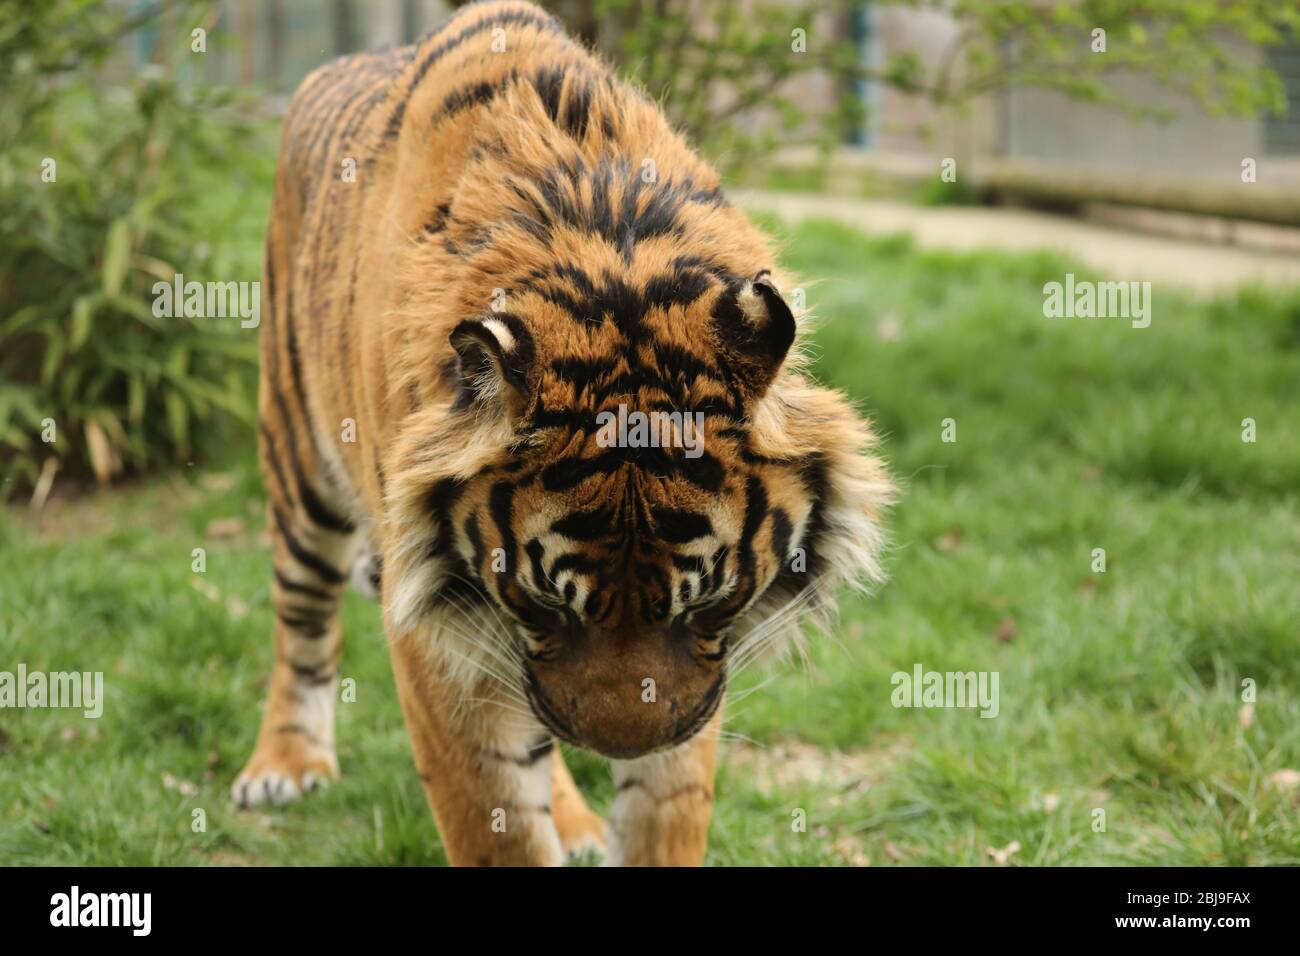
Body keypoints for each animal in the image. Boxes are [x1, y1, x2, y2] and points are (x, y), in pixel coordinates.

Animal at [231, 0, 892, 866]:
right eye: (544, 606)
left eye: (709, 604)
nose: (620, 747)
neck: (605, 239)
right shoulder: (444, 638)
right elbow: (498, 819)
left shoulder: (697, 672)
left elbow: (664, 811)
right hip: (300, 467)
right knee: (301, 623)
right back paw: (283, 763)